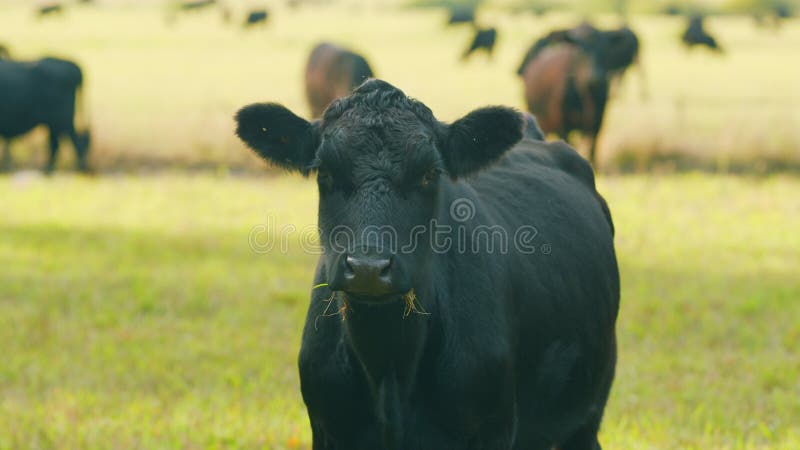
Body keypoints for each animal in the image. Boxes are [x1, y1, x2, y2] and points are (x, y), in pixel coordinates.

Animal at [235, 79, 620, 450]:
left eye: (429, 173)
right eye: (324, 172)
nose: (368, 268)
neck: (389, 371)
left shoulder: (494, 428)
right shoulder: (327, 429)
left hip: (588, 412)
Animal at [518, 24, 640, 166]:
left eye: (605, 50)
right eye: (581, 51)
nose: (595, 78)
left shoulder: (598, 122)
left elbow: (592, 150)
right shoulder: (563, 124)